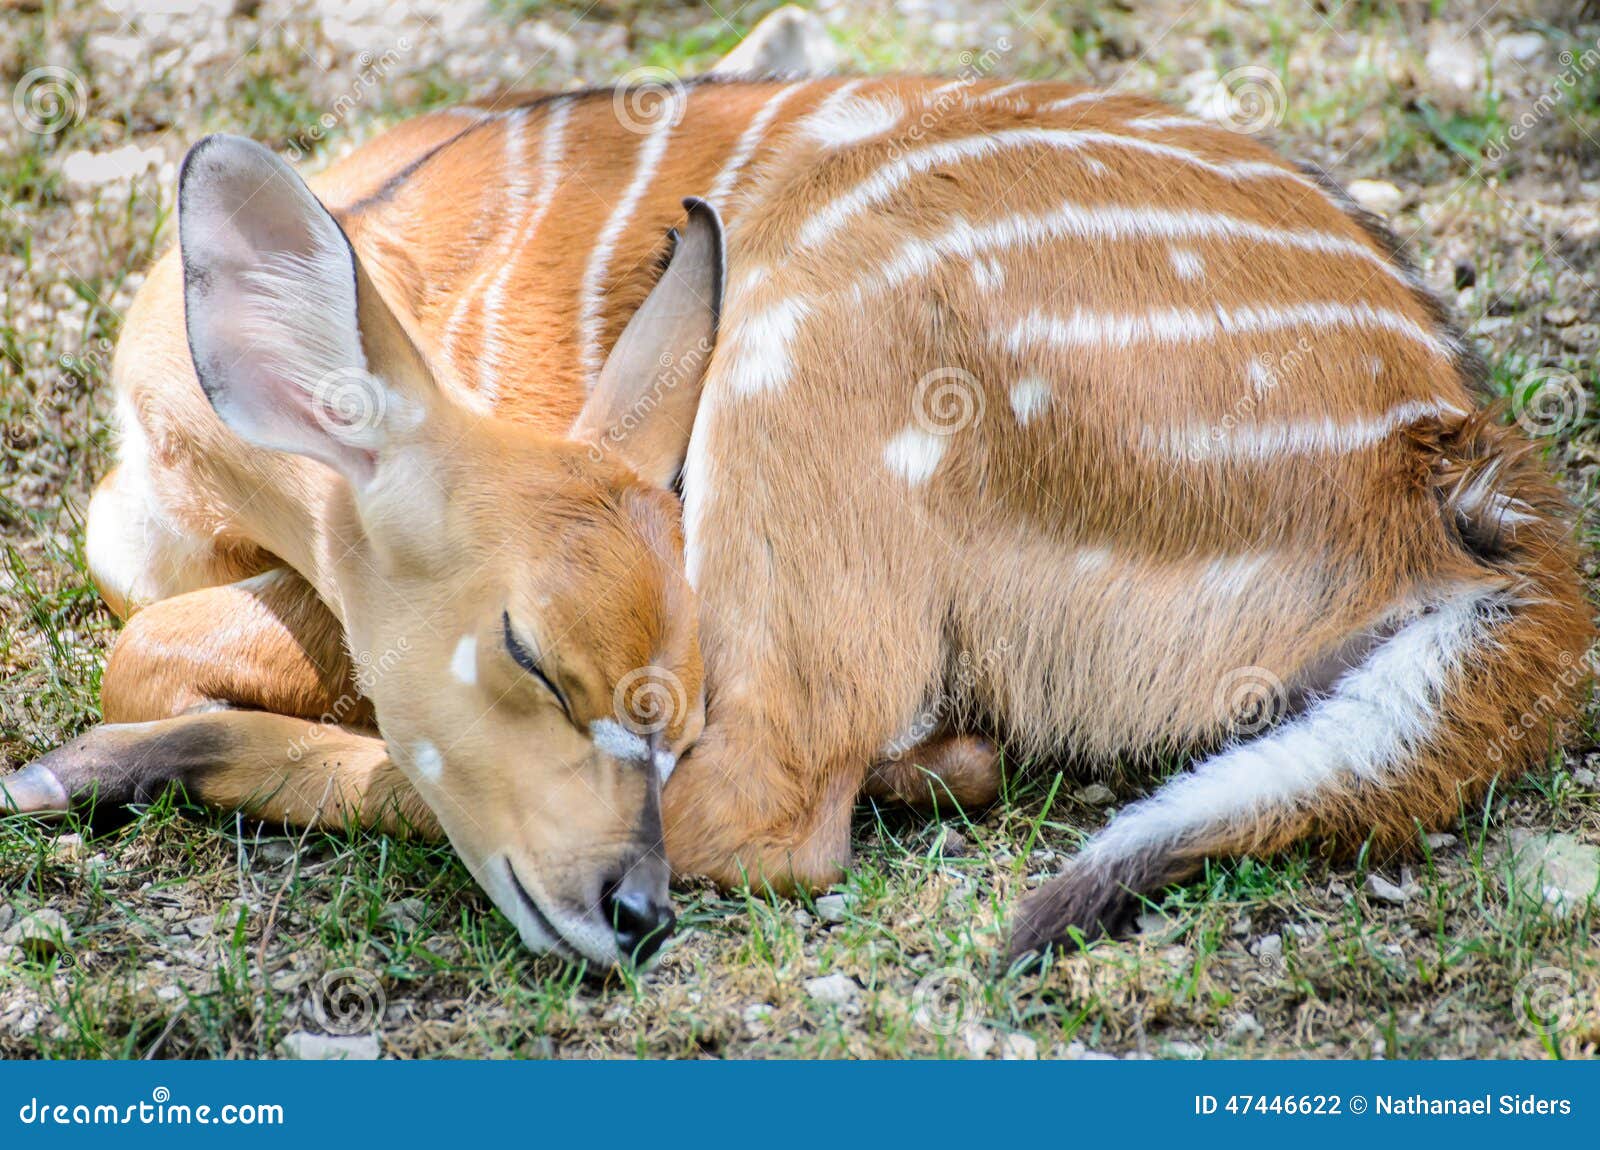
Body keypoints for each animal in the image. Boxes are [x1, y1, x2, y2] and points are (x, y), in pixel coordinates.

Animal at [2, 74, 1591, 969]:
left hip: (813, 321)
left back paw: (89, 769)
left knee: (776, 795)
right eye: (529, 654)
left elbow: (154, 651)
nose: (625, 911)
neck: (181, 432)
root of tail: (1457, 461)